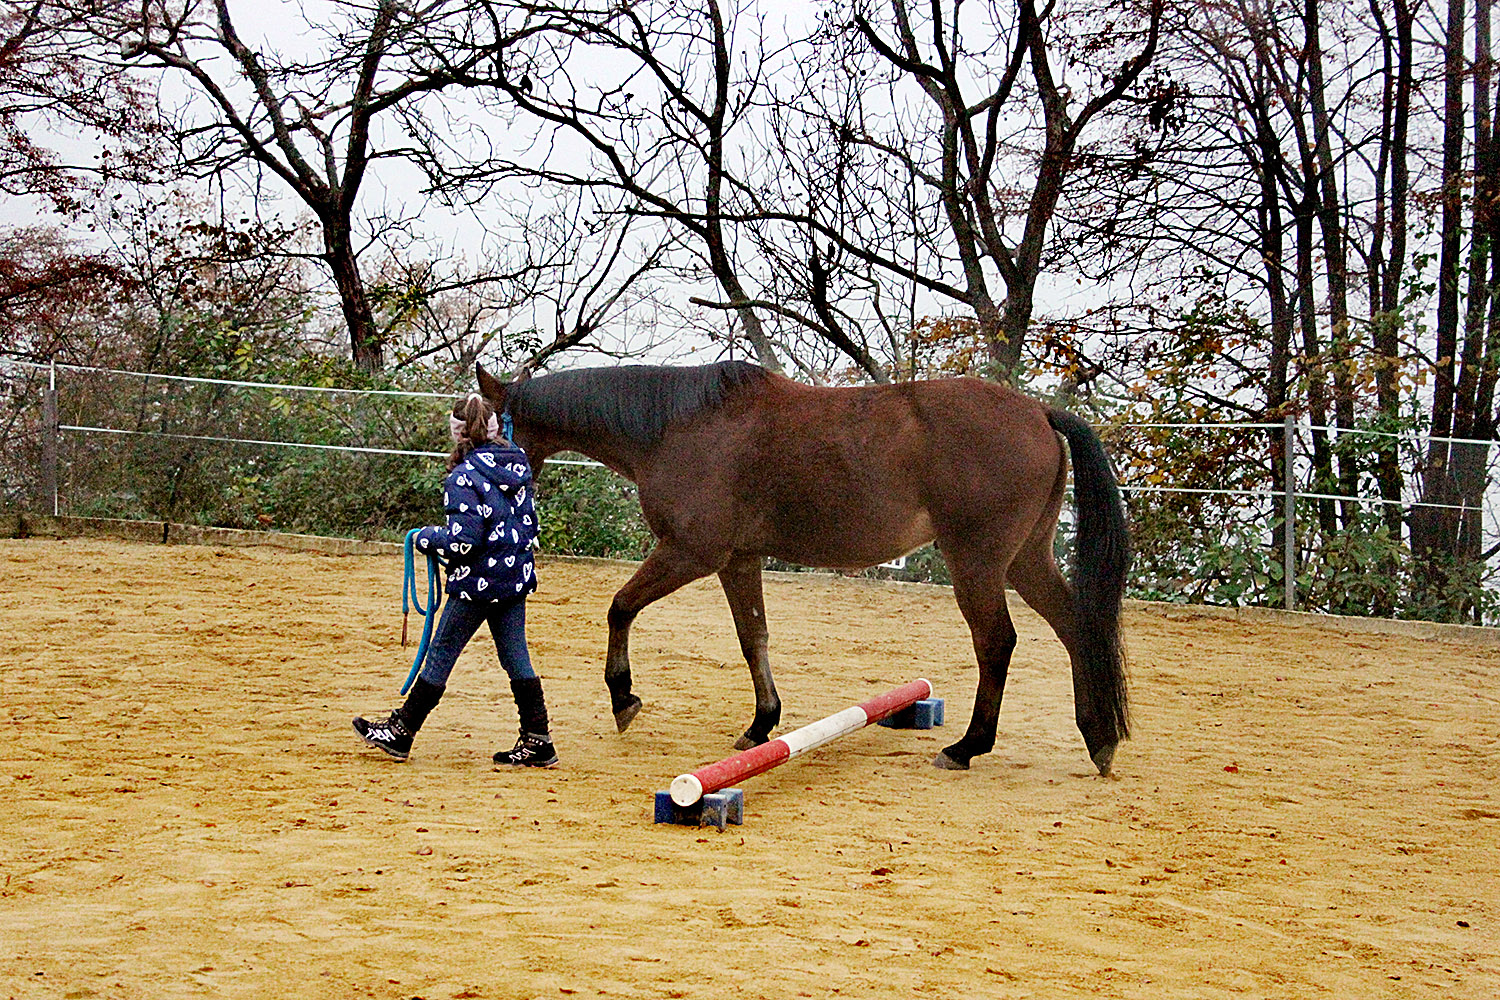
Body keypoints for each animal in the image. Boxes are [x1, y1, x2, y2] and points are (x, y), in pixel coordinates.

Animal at [476, 360, 1130, 775]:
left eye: (477, 423)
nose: (463, 467)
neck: (675, 428)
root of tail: (1039, 412)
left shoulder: (691, 552)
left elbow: (620, 608)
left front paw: (623, 698)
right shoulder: (738, 559)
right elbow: (754, 638)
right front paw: (762, 725)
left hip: (976, 562)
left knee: (997, 643)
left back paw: (968, 747)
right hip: (1025, 560)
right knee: (1075, 629)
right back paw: (1098, 739)